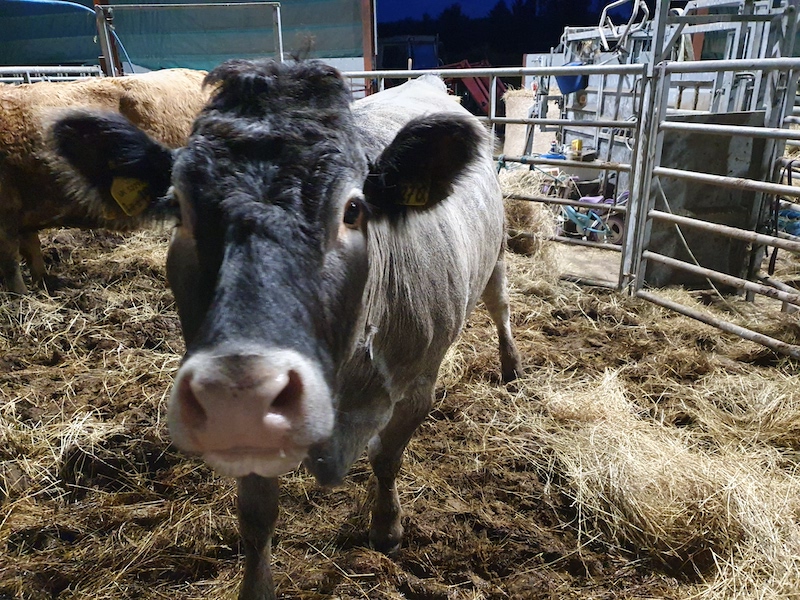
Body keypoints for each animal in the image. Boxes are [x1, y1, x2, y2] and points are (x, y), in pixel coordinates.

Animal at [49, 59, 523, 599]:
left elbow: (386, 458)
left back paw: (511, 366)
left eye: (353, 209)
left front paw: (386, 527)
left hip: (496, 255)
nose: (238, 390)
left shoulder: (417, 386)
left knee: (500, 305)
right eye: (180, 210)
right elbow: (256, 514)